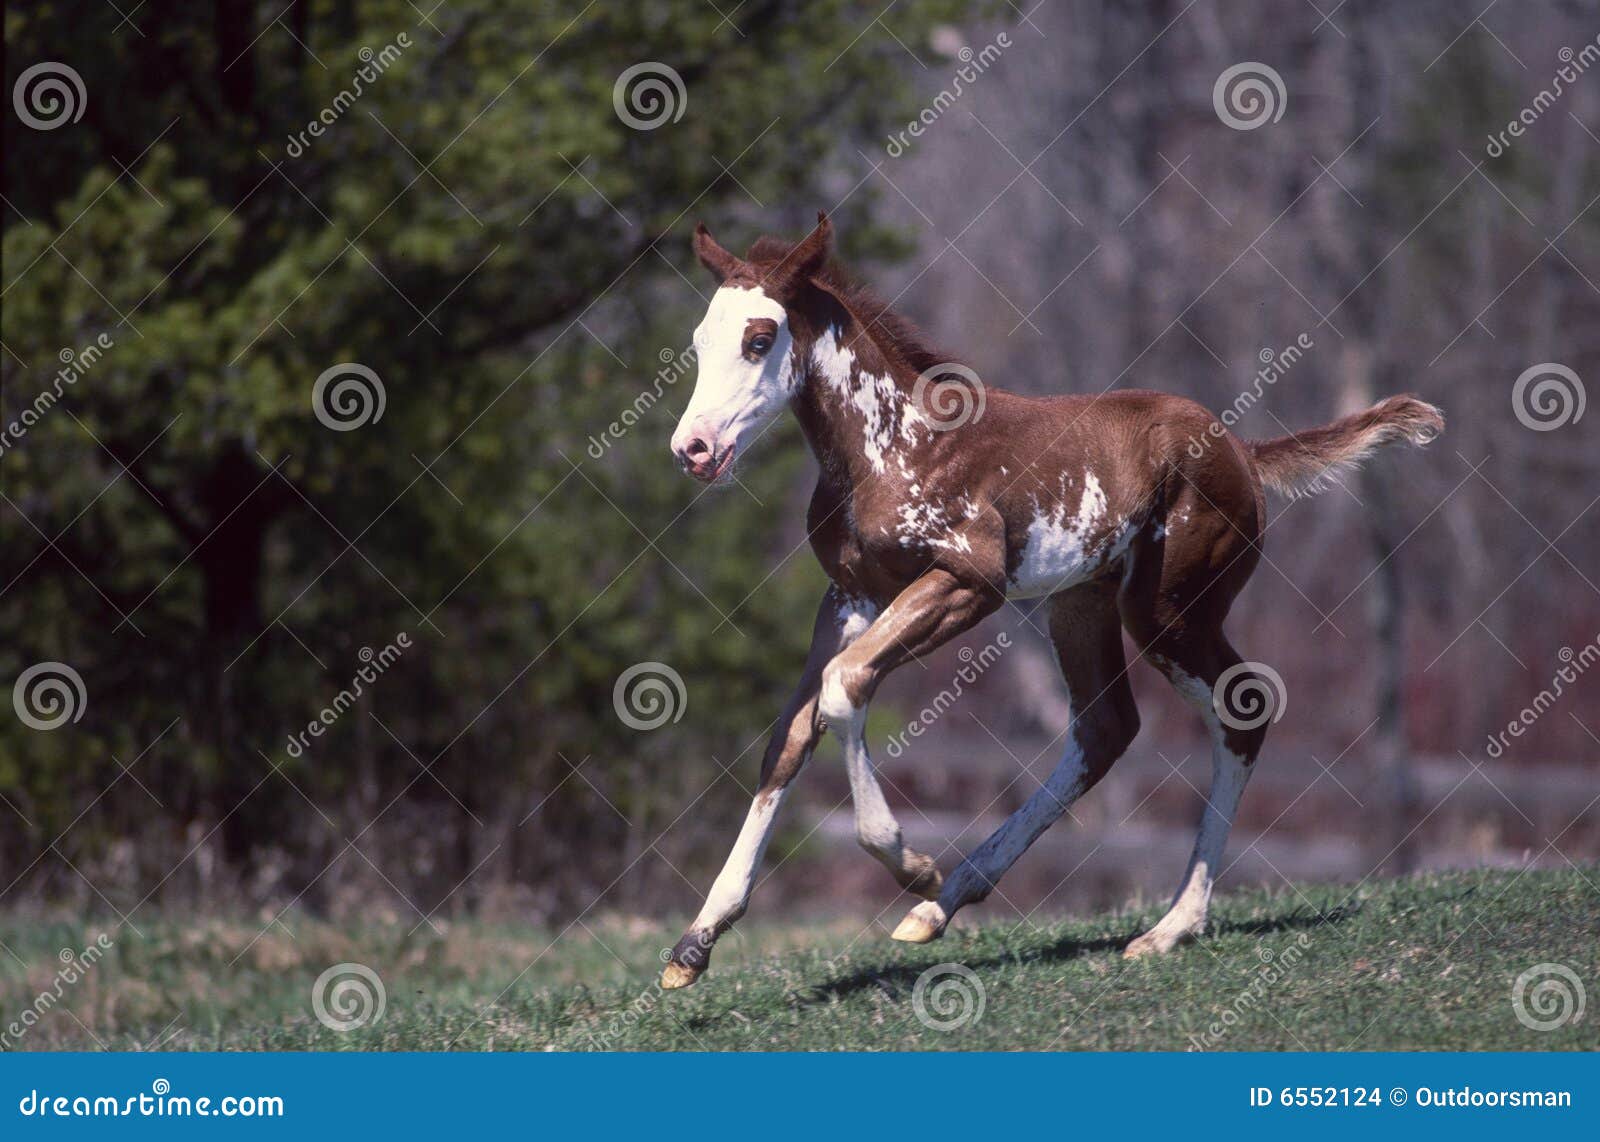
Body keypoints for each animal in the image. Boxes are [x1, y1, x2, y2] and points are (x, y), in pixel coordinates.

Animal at [659, 212, 1442, 989]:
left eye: (760, 339)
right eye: (698, 341)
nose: (692, 449)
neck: (893, 445)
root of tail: (1246, 454)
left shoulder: (968, 584)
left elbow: (844, 686)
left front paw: (910, 863)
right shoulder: (849, 596)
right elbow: (791, 734)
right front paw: (696, 942)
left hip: (1166, 611)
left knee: (1238, 709)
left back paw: (1165, 927)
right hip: (1079, 604)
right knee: (1106, 727)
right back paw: (947, 904)